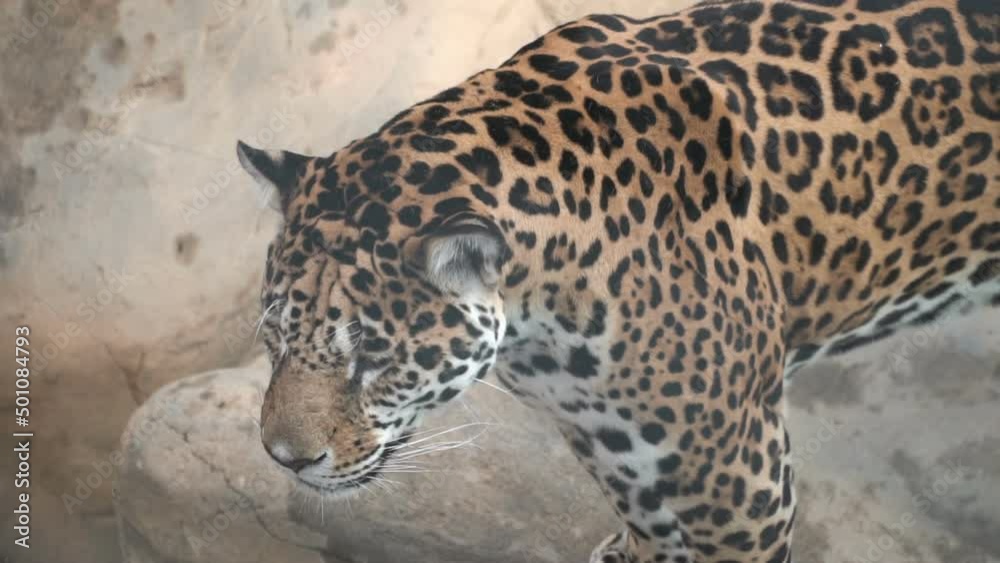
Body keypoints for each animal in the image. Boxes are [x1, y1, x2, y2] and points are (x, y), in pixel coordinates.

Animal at [236, 0, 1000, 561]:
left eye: (373, 357)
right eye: (275, 339)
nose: (283, 459)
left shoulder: (742, 484)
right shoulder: (613, 442)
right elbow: (649, 522)